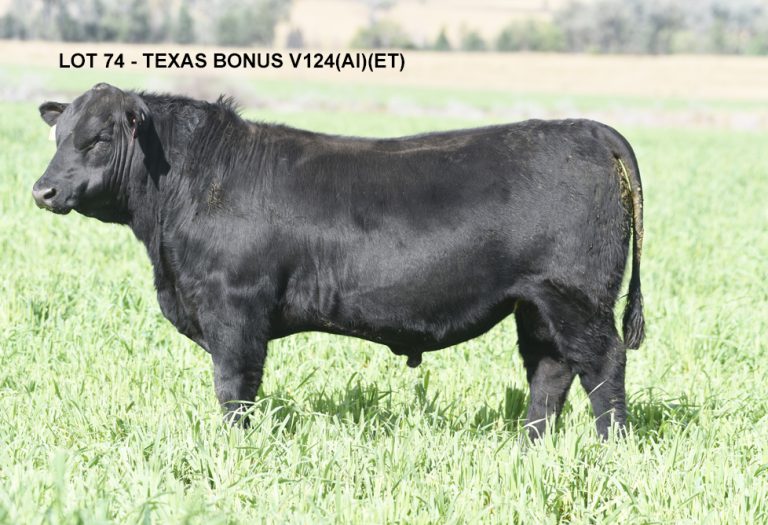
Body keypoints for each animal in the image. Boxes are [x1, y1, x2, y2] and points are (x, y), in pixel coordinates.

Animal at [32, 83, 644, 440]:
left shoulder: (234, 306)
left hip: (575, 298)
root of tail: (591, 129)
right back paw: (530, 445)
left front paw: (233, 449)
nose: (42, 190)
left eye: (99, 137)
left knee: (602, 365)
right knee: (550, 370)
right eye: (58, 135)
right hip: (536, 304)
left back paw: (610, 446)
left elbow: (234, 386)